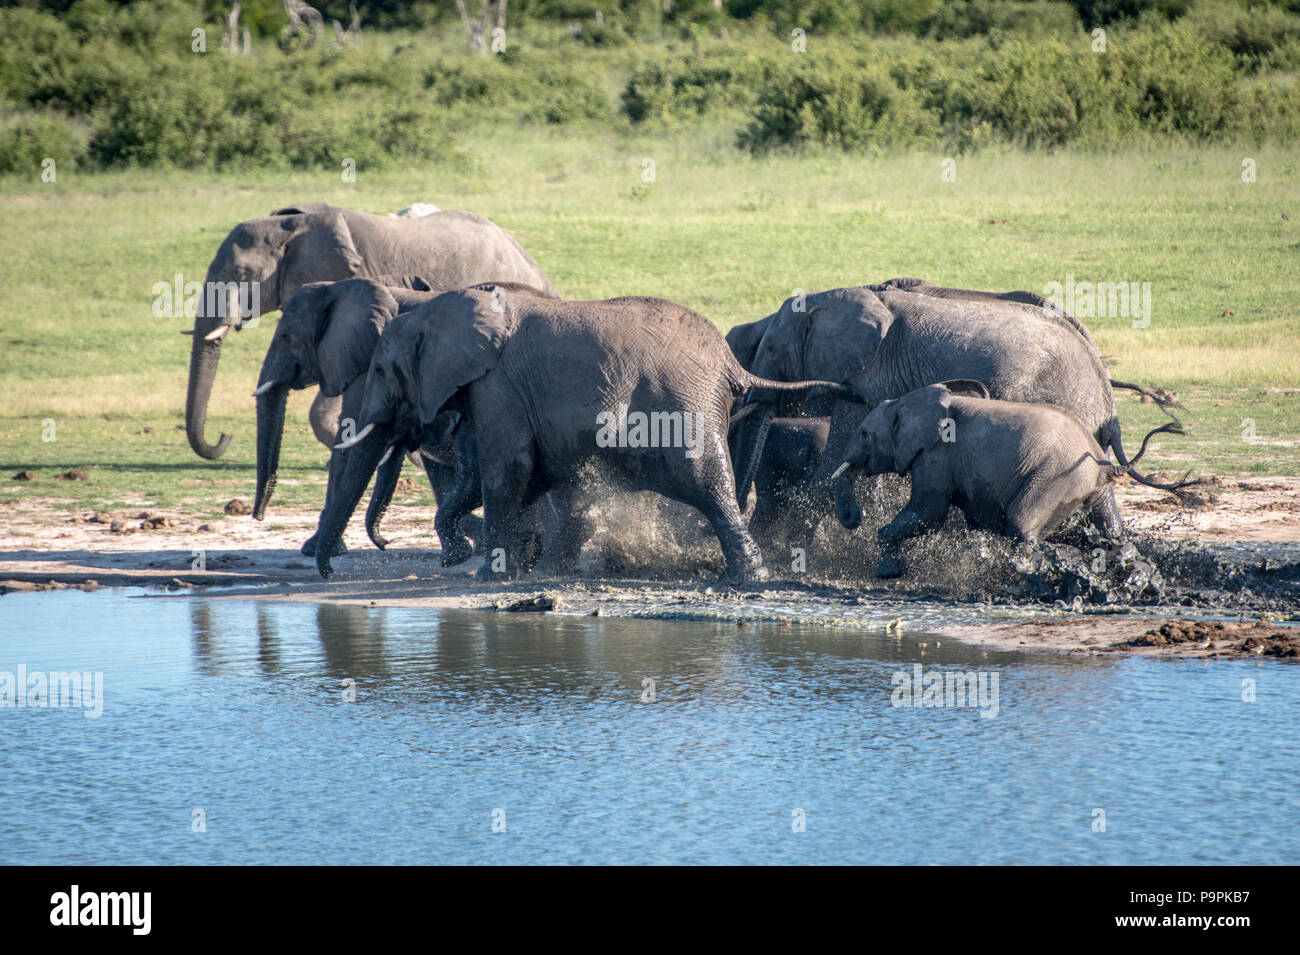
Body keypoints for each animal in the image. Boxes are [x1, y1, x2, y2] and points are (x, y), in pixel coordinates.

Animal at [317, 288, 863, 584]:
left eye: (381, 370)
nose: (328, 571)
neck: (439, 309)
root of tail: (730, 362)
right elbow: (515, 477)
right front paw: (524, 568)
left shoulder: (498, 387)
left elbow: (505, 472)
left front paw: (490, 574)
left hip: (685, 405)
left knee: (708, 485)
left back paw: (748, 578)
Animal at [831, 381, 1192, 577]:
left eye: (864, 434)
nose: (854, 514)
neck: (908, 401)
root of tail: (1098, 458)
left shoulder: (936, 455)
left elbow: (928, 513)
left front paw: (887, 573)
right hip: (1089, 485)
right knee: (1109, 529)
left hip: (1055, 477)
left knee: (1022, 522)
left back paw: (1021, 572)